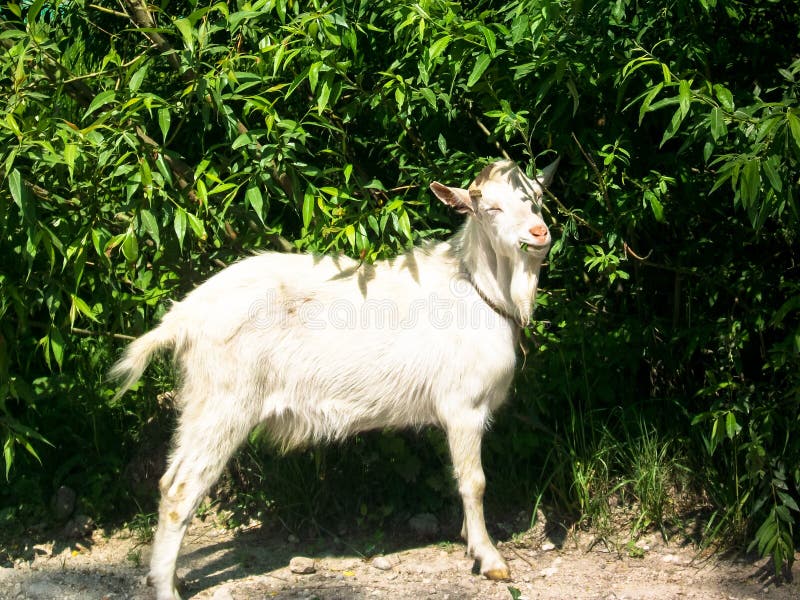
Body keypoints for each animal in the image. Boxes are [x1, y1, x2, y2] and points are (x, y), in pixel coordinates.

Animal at [110, 158, 557, 600]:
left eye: (537, 198)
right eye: (490, 208)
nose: (539, 233)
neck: (481, 291)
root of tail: (184, 316)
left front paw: (468, 541)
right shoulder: (464, 407)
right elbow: (474, 483)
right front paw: (489, 558)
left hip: (201, 404)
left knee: (169, 480)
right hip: (223, 404)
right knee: (181, 489)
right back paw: (166, 587)